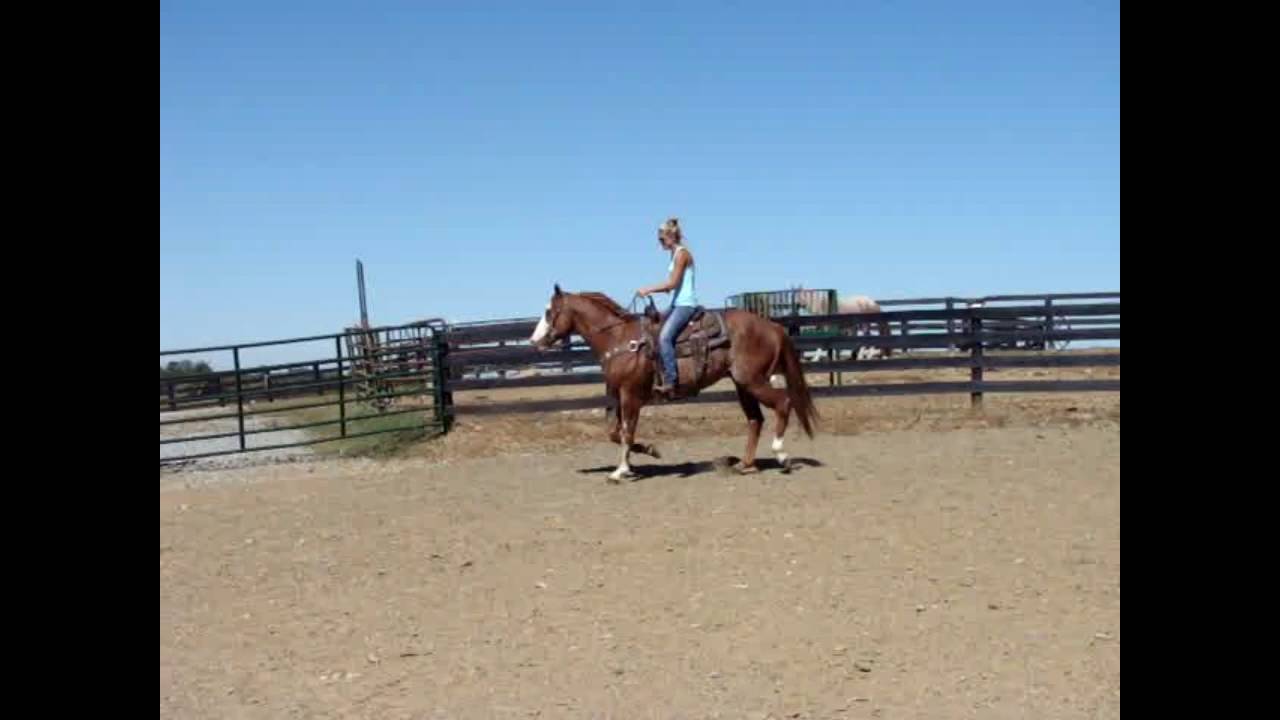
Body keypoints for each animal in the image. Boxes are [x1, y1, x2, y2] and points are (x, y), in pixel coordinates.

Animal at [529, 285, 819, 482]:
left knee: (782, 402)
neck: (619, 340)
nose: (534, 341)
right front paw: (649, 451)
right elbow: (614, 433)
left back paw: (781, 455)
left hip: (753, 381)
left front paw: (621, 471)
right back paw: (745, 464)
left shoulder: (631, 396)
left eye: (549, 311)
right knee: (755, 420)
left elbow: (626, 432)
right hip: (742, 385)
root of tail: (773, 327)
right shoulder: (617, 396)